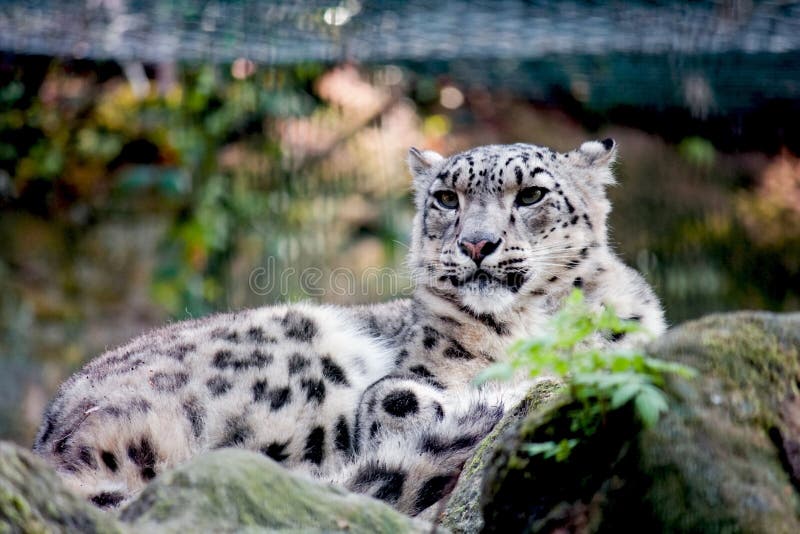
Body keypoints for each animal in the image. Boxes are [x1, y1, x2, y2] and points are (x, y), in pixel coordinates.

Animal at [33, 138, 666, 518]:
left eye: (531, 194)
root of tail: (55, 443)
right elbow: (395, 399)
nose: (476, 243)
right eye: (447, 197)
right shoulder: (412, 376)